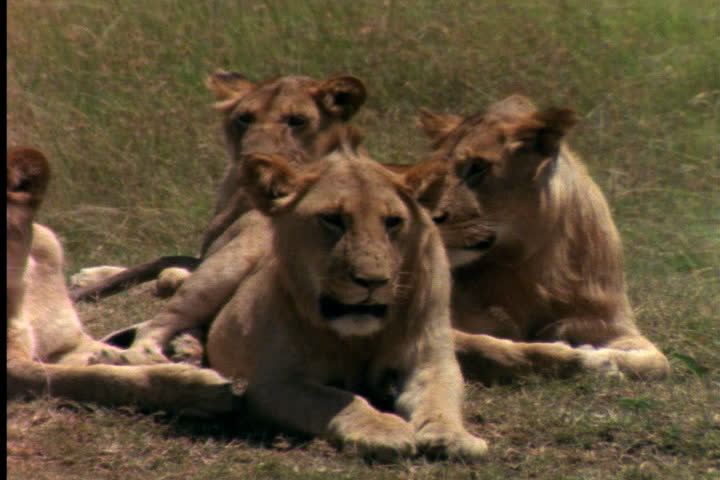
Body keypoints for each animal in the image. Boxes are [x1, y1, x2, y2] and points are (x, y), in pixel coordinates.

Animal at [407, 95, 670, 382]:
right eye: (434, 170)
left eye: (478, 167)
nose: (429, 216)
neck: (533, 262)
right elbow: (487, 346)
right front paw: (585, 360)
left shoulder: (614, 324)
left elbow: (658, 362)